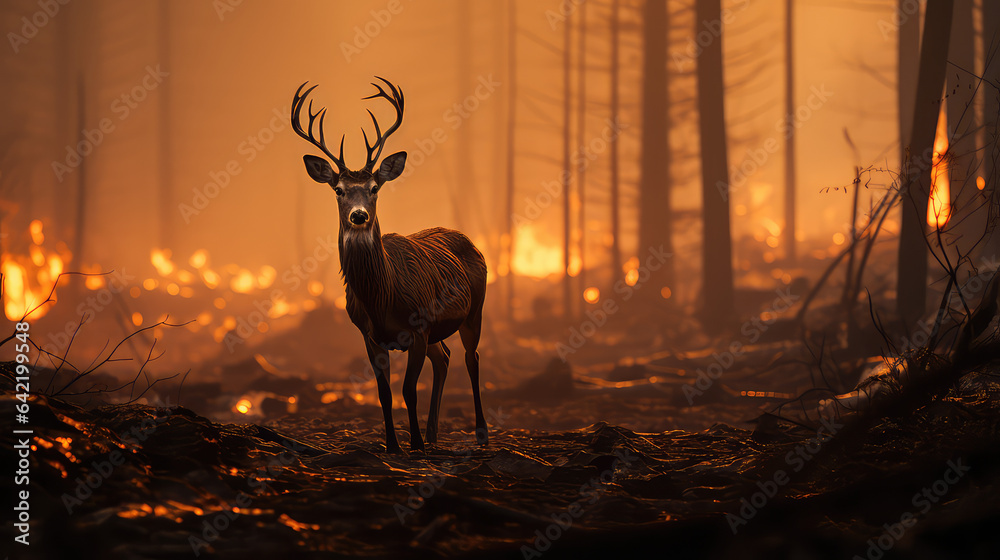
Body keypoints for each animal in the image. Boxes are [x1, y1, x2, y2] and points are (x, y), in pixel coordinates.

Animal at [291, 77, 488, 453]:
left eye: (374, 187)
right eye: (338, 189)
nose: (358, 216)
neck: (382, 298)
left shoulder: (419, 325)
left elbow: (409, 390)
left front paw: (414, 445)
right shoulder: (369, 335)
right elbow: (384, 393)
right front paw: (394, 445)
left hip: (475, 310)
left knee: (471, 360)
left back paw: (480, 433)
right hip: (439, 330)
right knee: (444, 358)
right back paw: (433, 434)